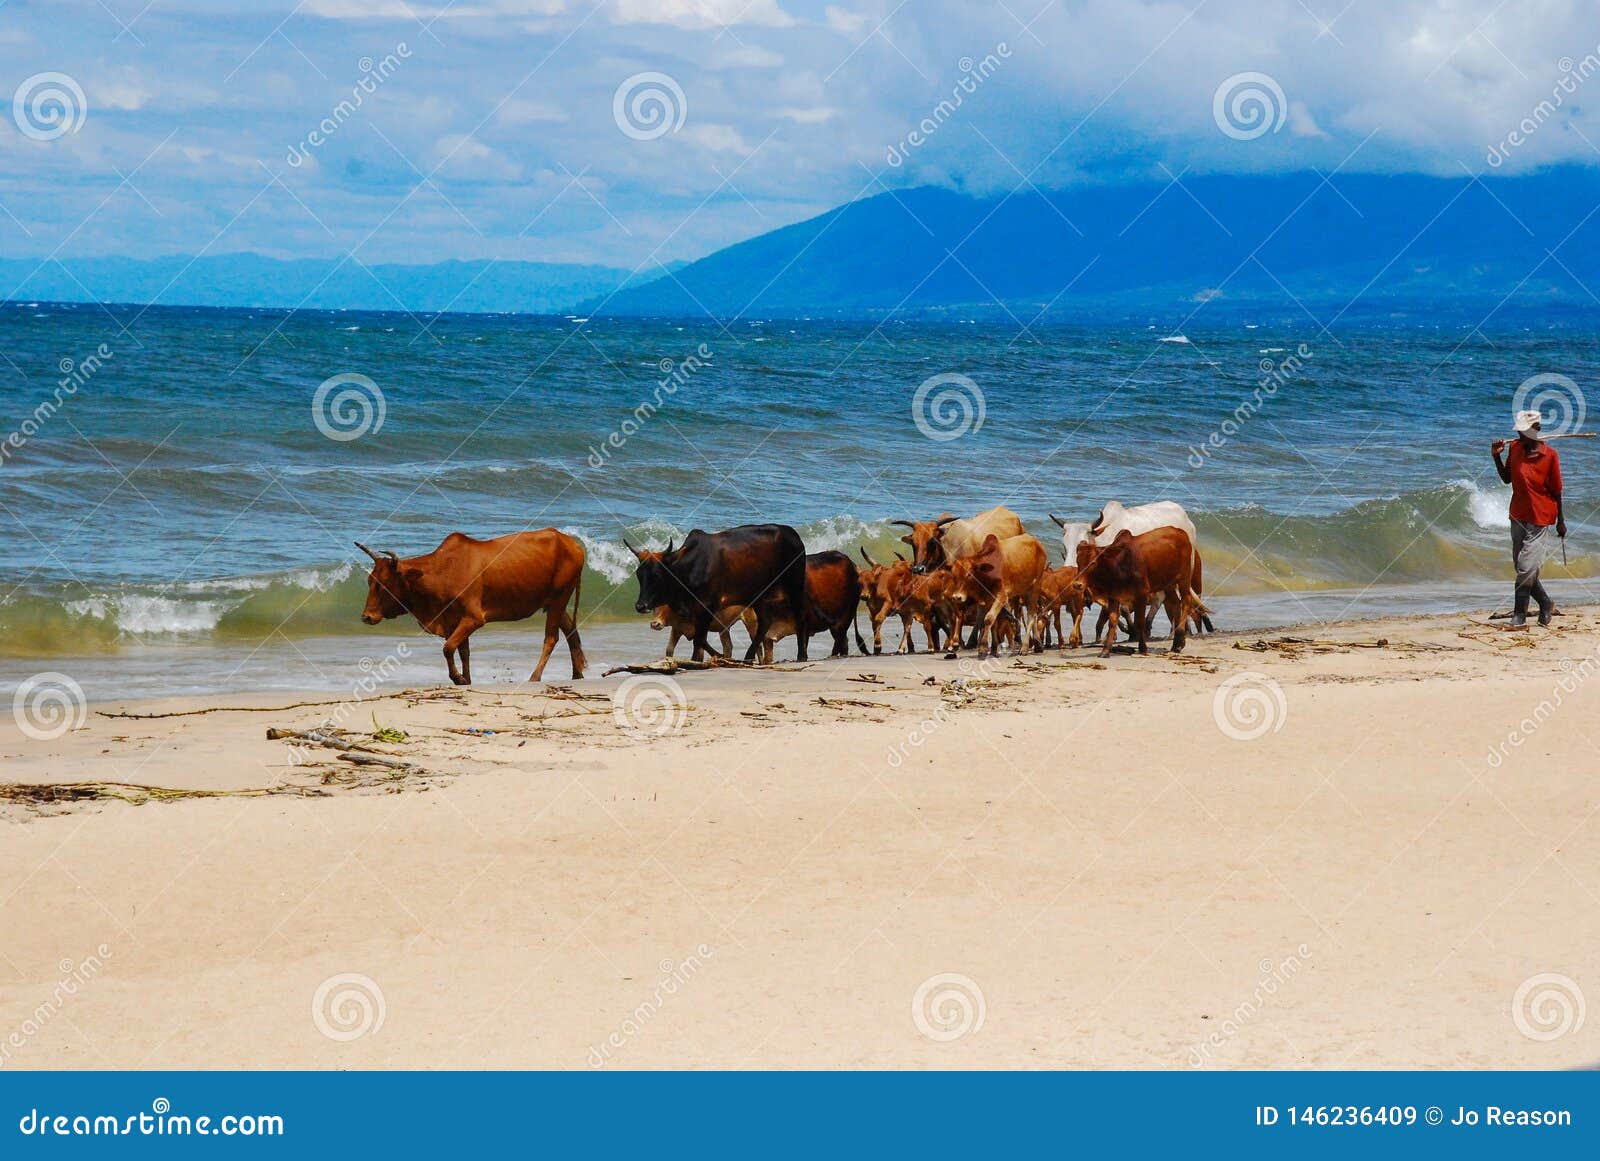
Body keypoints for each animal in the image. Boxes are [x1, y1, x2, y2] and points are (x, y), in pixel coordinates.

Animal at [356, 529, 586, 685]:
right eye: (369, 581)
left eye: (384, 584)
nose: (367, 616)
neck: (441, 572)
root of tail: (572, 544)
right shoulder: (455, 620)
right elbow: (463, 651)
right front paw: (466, 679)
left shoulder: (473, 618)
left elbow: (448, 647)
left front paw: (458, 678)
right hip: (554, 602)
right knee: (570, 631)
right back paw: (577, 674)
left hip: (558, 599)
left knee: (551, 638)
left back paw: (535, 677)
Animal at [628, 524, 809, 663]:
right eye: (638, 574)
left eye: (657, 575)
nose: (640, 606)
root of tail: (794, 536)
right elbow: (699, 639)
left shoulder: (709, 607)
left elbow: (699, 639)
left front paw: (698, 661)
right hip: (758, 595)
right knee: (764, 622)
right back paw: (748, 657)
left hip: (794, 585)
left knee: (799, 615)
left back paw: (801, 655)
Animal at [1075, 527, 1202, 657]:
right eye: (1078, 561)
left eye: (1093, 562)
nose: (1077, 584)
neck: (1119, 565)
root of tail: (1180, 531)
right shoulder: (1114, 597)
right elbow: (1112, 621)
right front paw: (1105, 650)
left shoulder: (1142, 595)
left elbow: (1140, 622)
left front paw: (1143, 648)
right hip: (1168, 584)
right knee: (1175, 605)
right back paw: (1176, 644)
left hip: (1184, 579)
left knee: (1186, 602)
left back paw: (1180, 639)